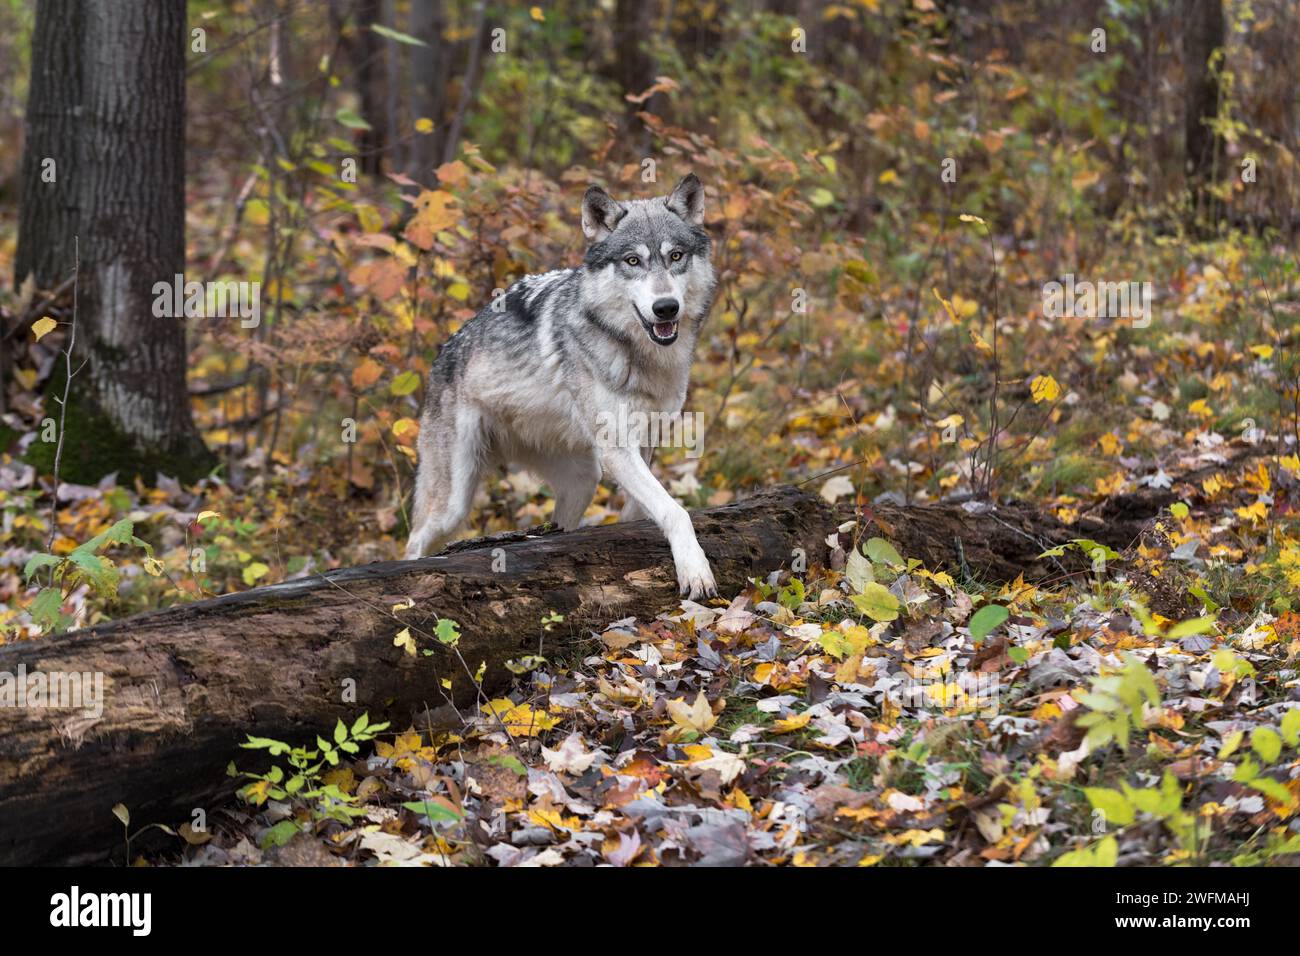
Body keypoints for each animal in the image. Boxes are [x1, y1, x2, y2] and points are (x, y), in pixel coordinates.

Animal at [403, 174, 718, 598]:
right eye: (632, 261)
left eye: (676, 256)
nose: (666, 307)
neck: (640, 356)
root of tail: (444, 350)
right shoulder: (617, 450)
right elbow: (676, 509)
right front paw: (695, 571)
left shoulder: (645, 444)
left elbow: (643, 508)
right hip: (451, 503)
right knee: (414, 540)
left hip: (583, 481)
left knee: (561, 527)